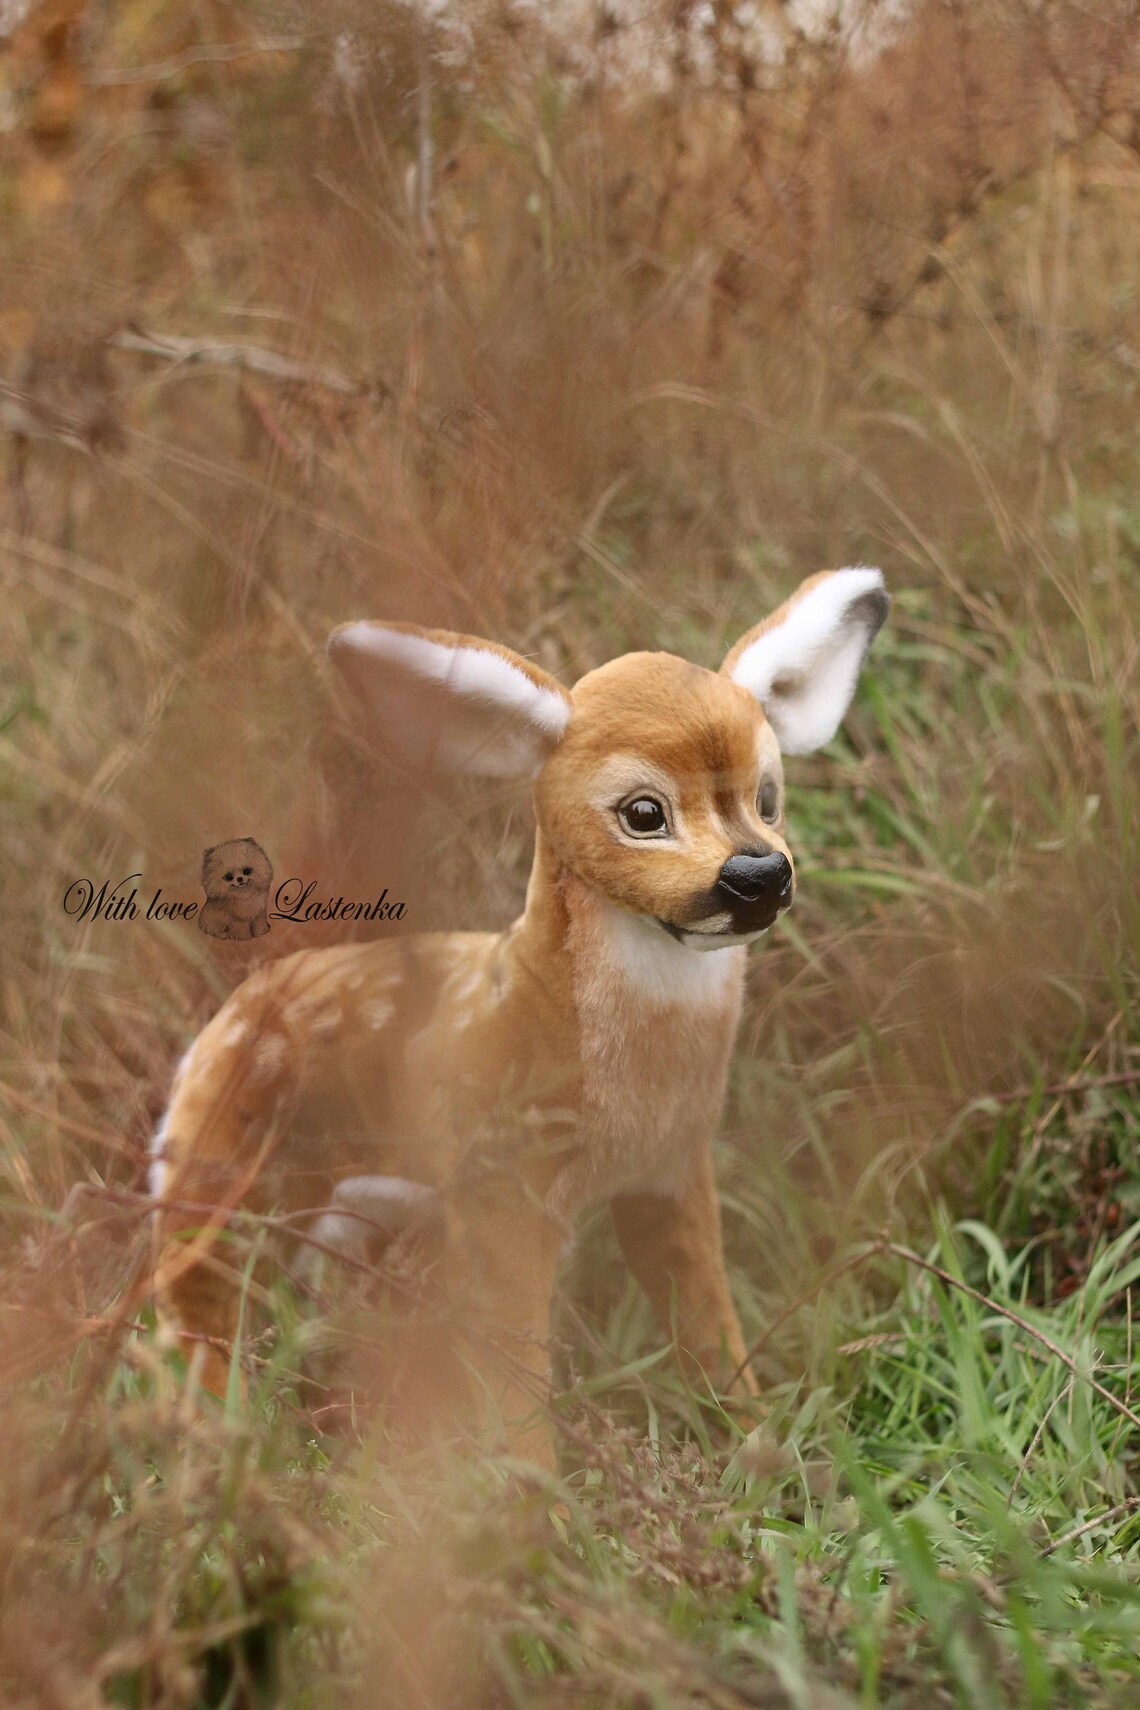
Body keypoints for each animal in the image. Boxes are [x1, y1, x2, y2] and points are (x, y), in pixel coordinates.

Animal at [150, 567, 889, 1464]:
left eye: (769, 797)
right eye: (644, 812)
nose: (758, 875)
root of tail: (226, 1016)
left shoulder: (672, 1169)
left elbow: (705, 1318)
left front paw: (756, 1443)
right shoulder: (504, 1185)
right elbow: (515, 1365)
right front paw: (536, 1492)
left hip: (355, 1197)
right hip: (222, 1164)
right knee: (185, 1297)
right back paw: (214, 1434)